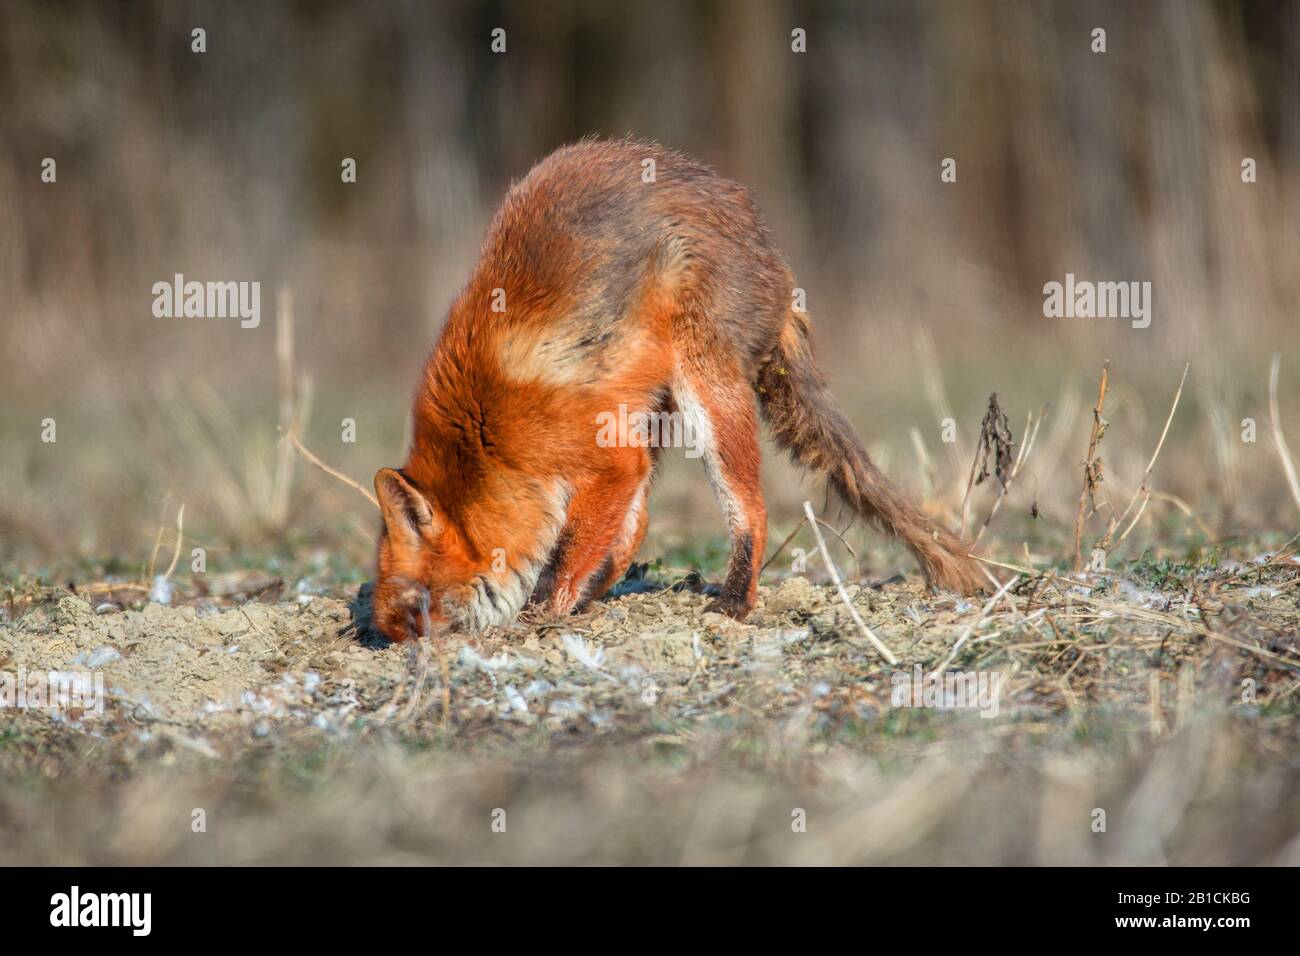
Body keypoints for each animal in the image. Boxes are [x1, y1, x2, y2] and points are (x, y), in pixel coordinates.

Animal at [370, 138, 986, 642]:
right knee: (641, 523)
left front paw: (540, 619)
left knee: (751, 510)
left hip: (706, 390)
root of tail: (770, 251)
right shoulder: (619, 449)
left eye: (414, 606)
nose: (397, 645)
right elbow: (611, 535)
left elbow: (566, 555)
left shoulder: (606, 458)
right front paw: (573, 606)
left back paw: (734, 604)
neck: (485, 435)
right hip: (653, 408)